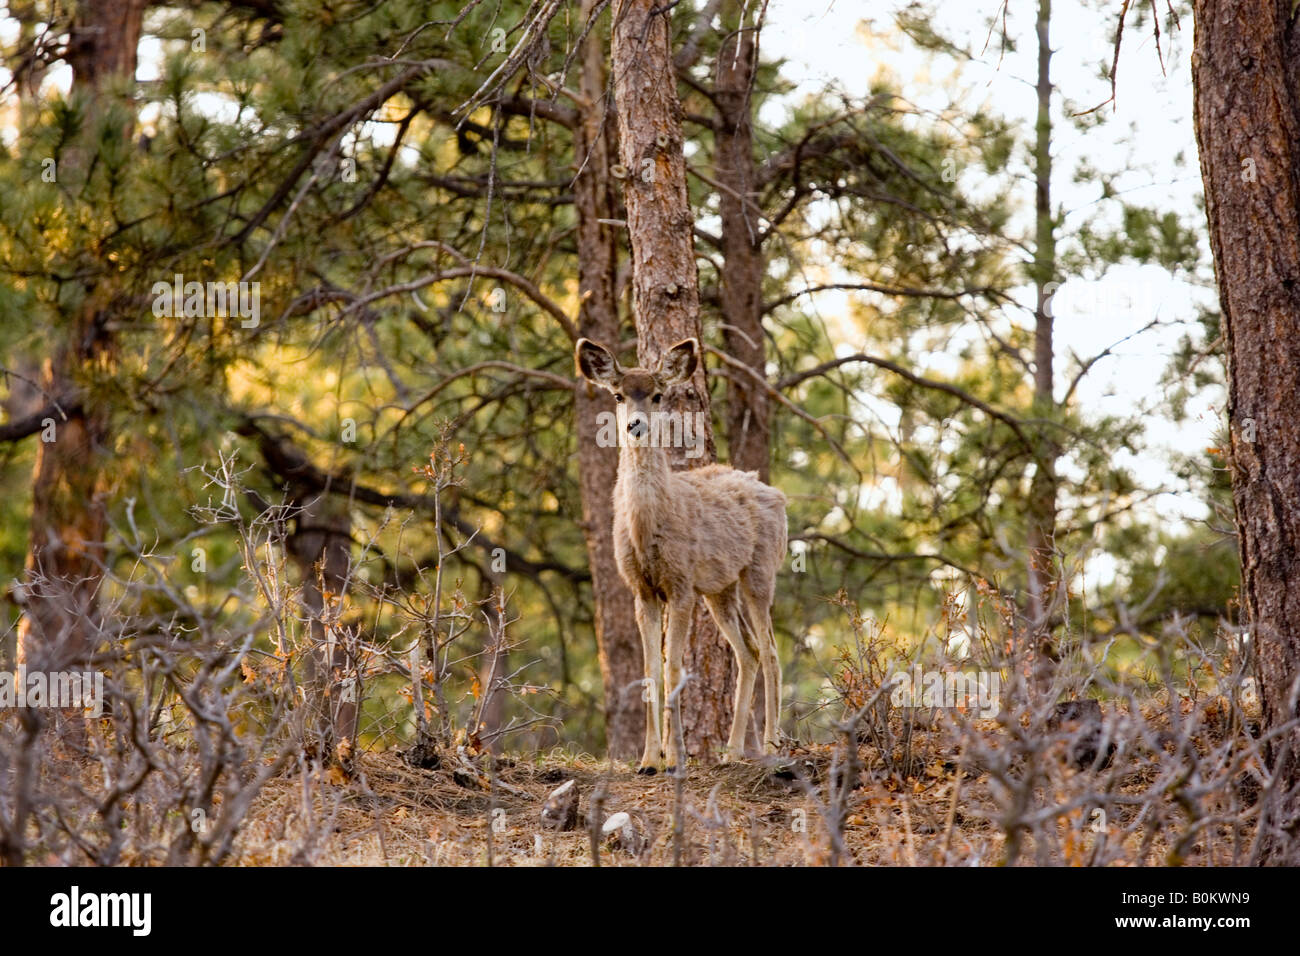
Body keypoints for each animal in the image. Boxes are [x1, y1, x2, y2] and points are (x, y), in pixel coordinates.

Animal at [575, 336, 787, 773]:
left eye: (657, 395)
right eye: (619, 395)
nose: (635, 425)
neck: (647, 527)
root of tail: (776, 494)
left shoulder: (682, 583)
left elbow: (673, 666)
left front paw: (675, 757)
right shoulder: (642, 589)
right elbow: (650, 668)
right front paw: (647, 759)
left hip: (759, 572)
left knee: (772, 649)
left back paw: (773, 743)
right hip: (721, 589)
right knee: (750, 651)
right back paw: (733, 750)